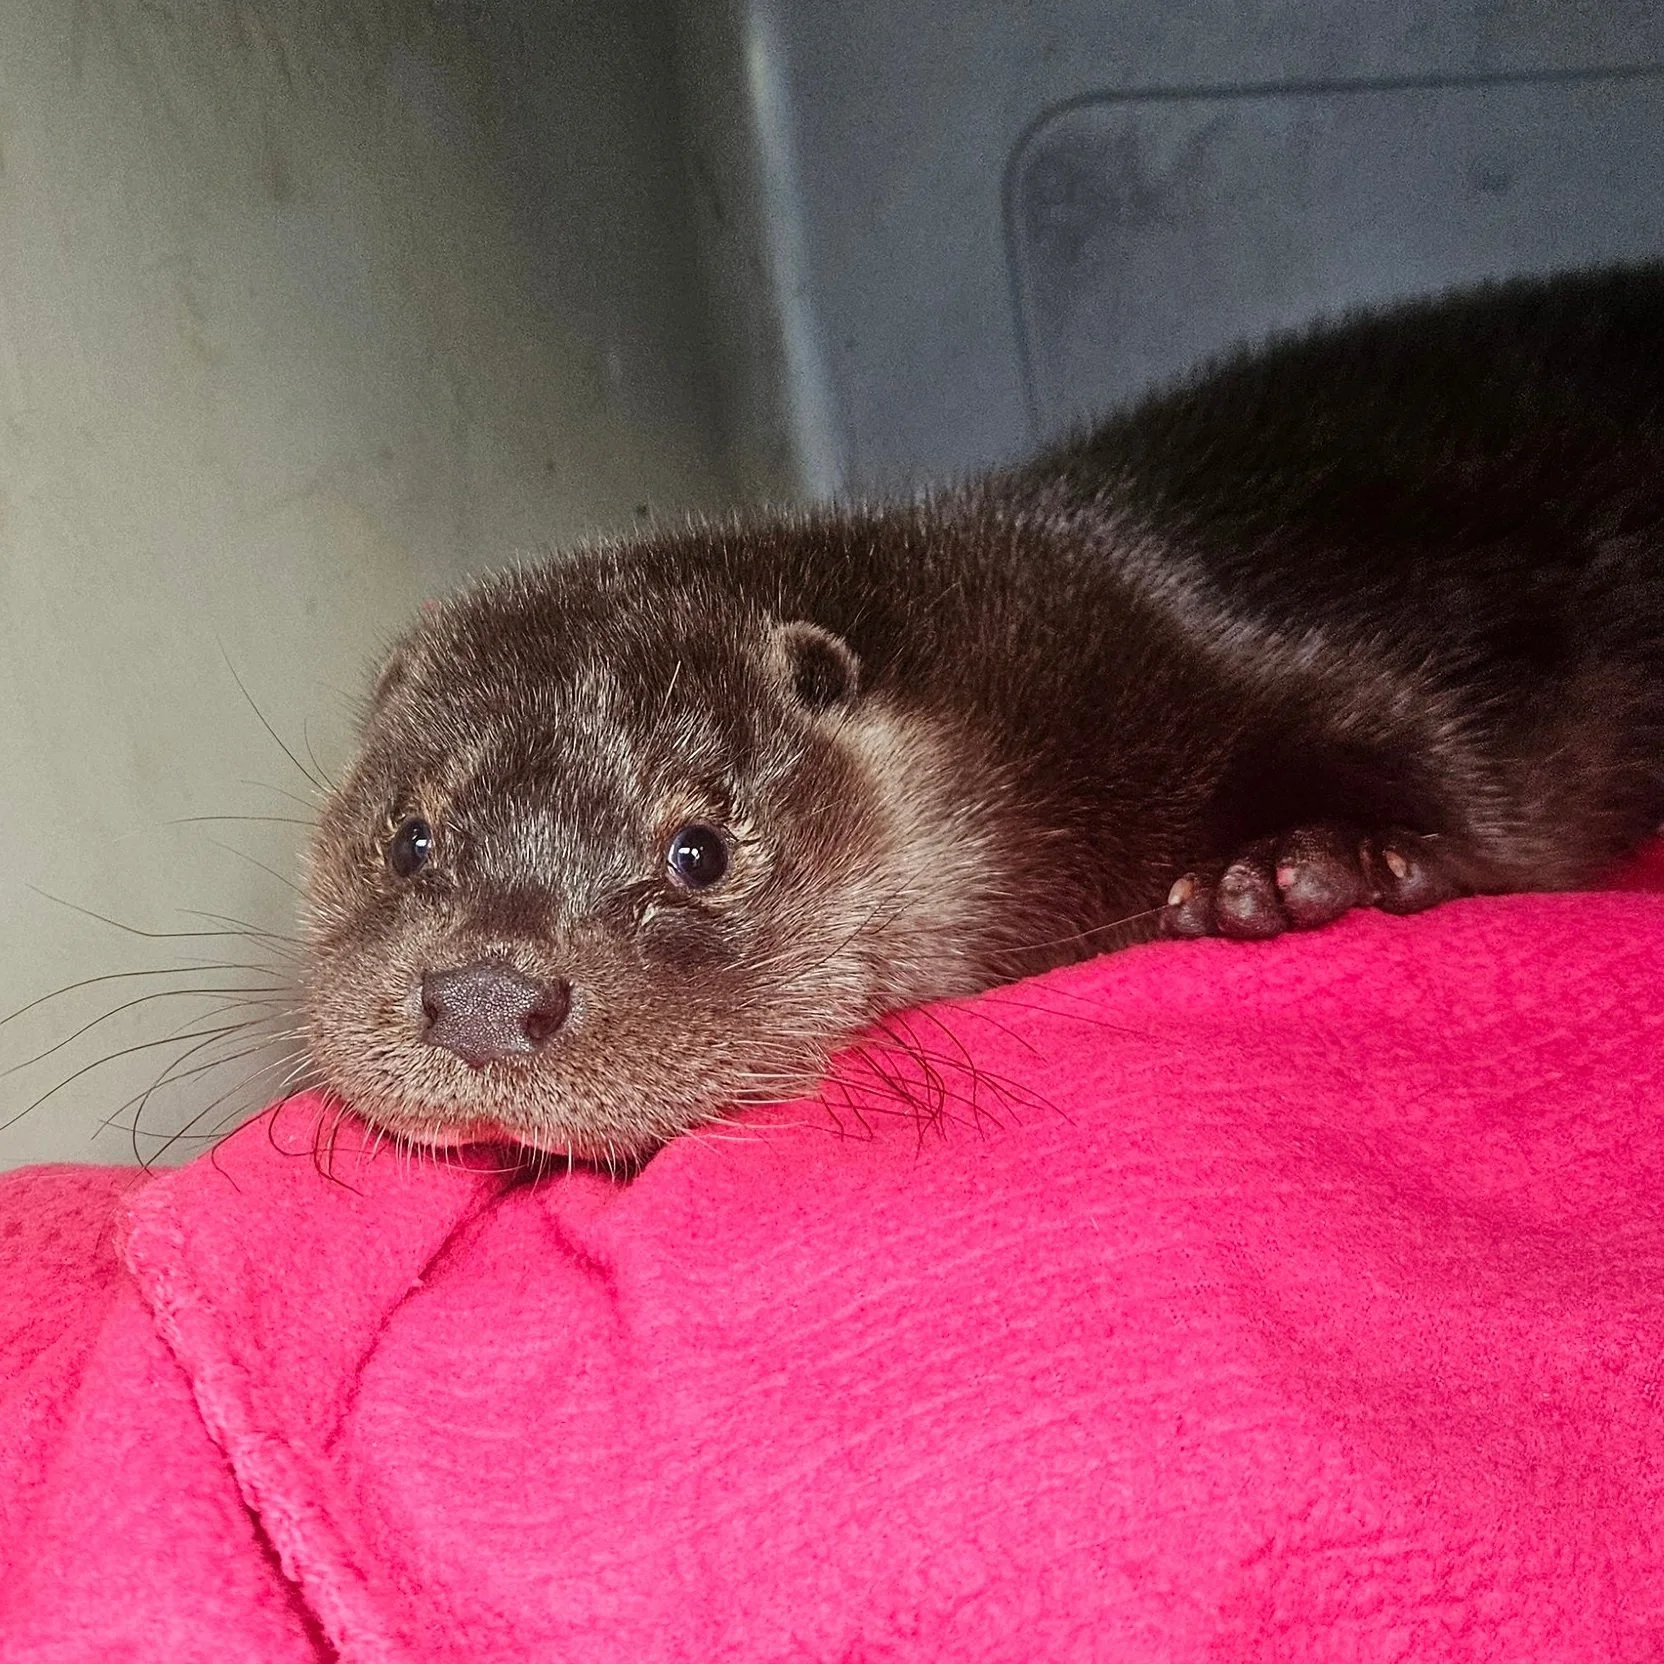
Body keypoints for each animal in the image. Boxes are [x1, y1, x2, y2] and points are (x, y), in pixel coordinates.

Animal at [303, 264, 1664, 1163]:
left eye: (697, 851)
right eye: (408, 838)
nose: (484, 999)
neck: (1058, 698)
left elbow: (1467, 781)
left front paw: (1294, 866)